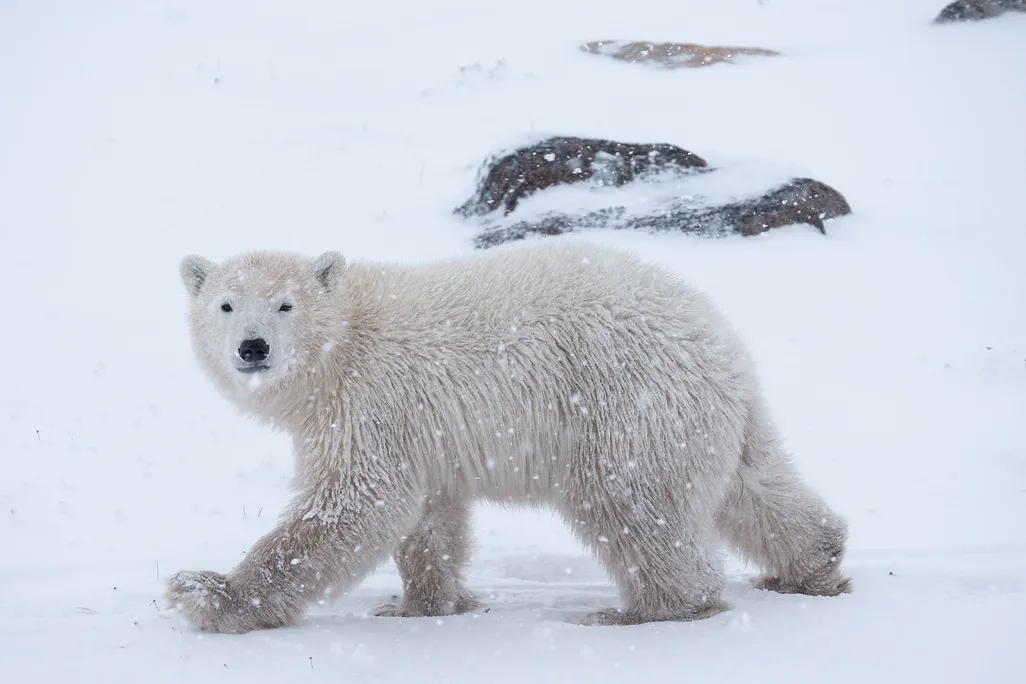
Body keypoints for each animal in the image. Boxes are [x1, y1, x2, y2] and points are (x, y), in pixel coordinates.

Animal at [166, 239, 851, 634]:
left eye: (285, 305)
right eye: (226, 305)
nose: (253, 348)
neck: (340, 347)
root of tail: (719, 344)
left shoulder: (370, 400)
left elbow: (355, 503)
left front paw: (209, 595)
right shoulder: (420, 430)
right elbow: (429, 517)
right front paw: (422, 605)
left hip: (625, 407)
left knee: (630, 505)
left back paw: (638, 611)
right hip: (703, 418)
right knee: (754, 485)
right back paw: (812, 565)